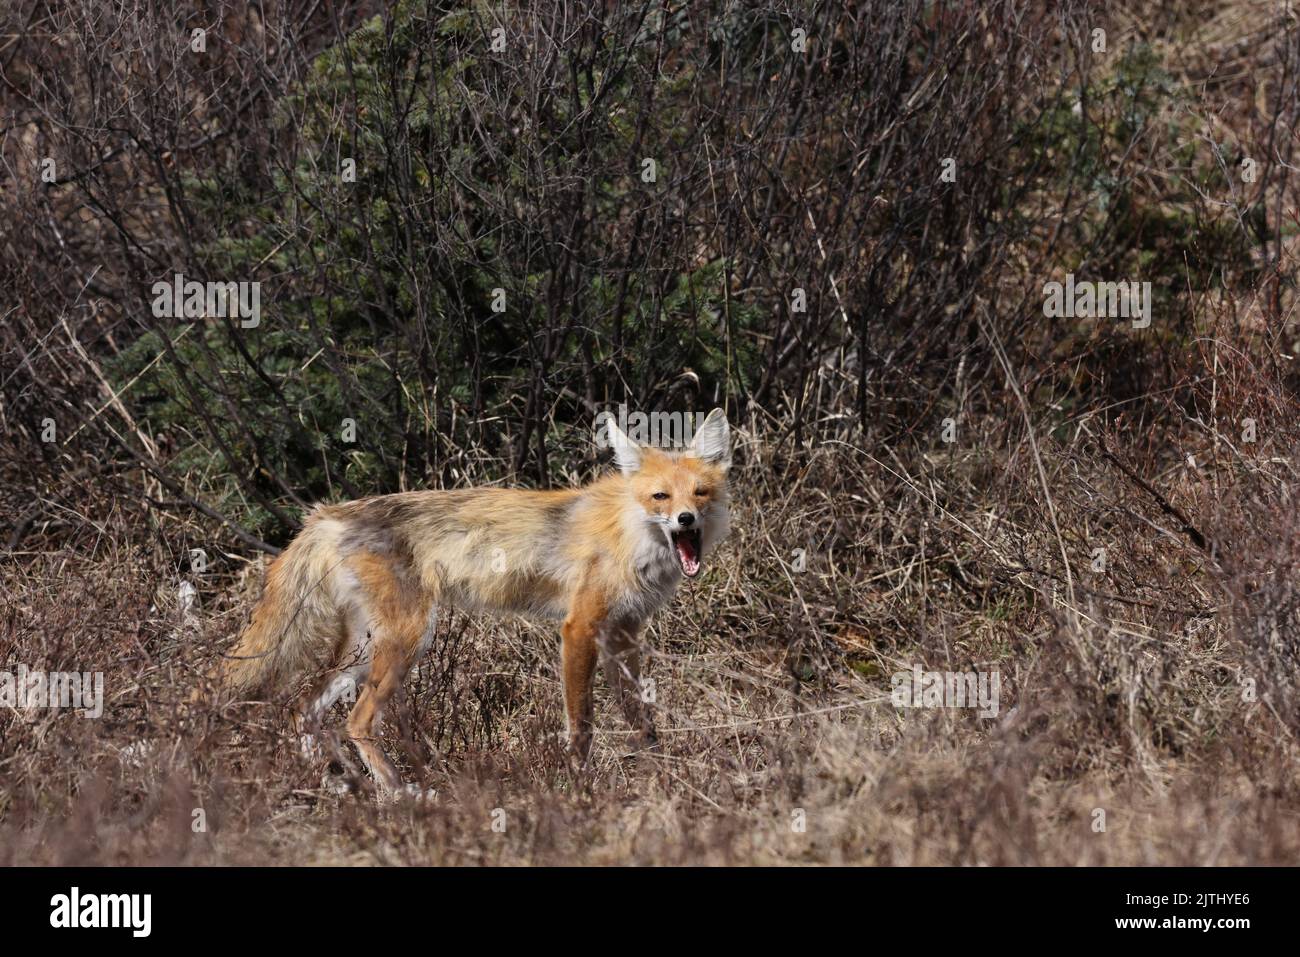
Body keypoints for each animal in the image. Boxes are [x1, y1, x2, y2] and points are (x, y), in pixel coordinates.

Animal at [213, 408, 732, 797]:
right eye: (660, 496)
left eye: (699, 493)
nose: (686, 519)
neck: (629, 536)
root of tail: (326, 514)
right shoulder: (579, 629)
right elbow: (581, 724)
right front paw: (580, 785)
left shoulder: (622, 635)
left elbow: (642, 722)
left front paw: (658, 776)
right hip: (408, 640)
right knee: (355, 722)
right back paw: (399, 792)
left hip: (363, 651)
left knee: (302, 709)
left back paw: (332, 784)